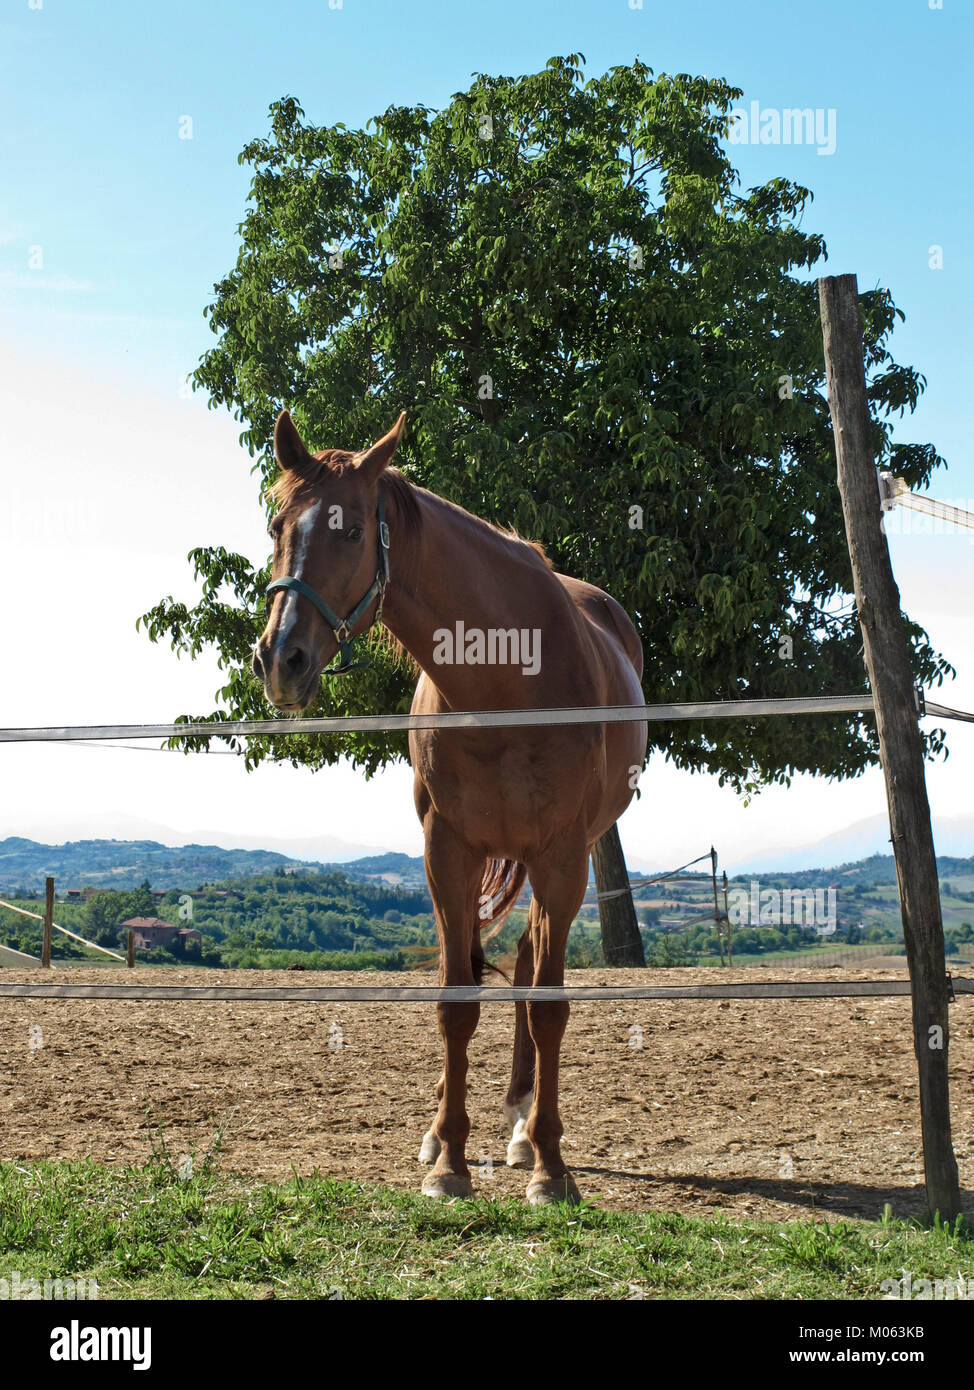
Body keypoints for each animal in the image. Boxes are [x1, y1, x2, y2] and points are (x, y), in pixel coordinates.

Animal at [253, 411, 648, 1204]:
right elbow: (453, 1000)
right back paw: (449, 1127)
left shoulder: (561, 857)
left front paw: (551, 1167)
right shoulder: (448, 853)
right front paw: (449, 1159)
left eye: (350, 531)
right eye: (278, 525)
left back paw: (525, 1128)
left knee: (528, 964)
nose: (282, 659)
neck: (508, 679)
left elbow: (549, 1005)